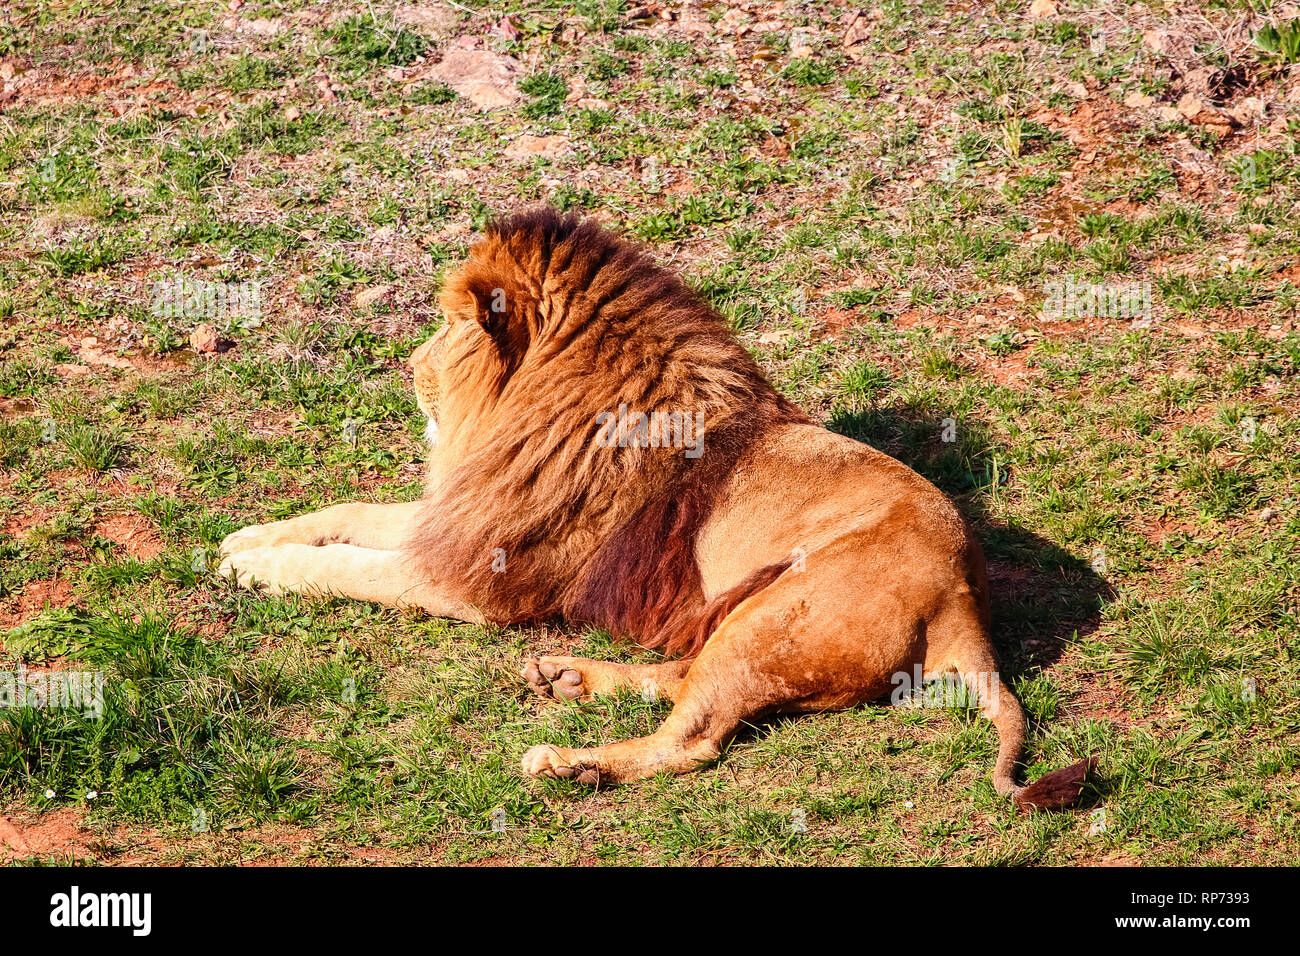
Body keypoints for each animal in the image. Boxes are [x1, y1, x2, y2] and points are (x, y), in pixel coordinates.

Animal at [220, 208, 1092, 808]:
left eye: (448, 326)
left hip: (777, 614)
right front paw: (246, 536)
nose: (407, 365)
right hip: (744, 616)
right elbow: (355, 512)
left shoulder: (477, 582)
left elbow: (352, 568)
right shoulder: (464, 520)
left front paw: (260, 565)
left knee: (693, 738)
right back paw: (565, 677)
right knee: (677, 678)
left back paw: (571, 763)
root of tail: (967, 613)